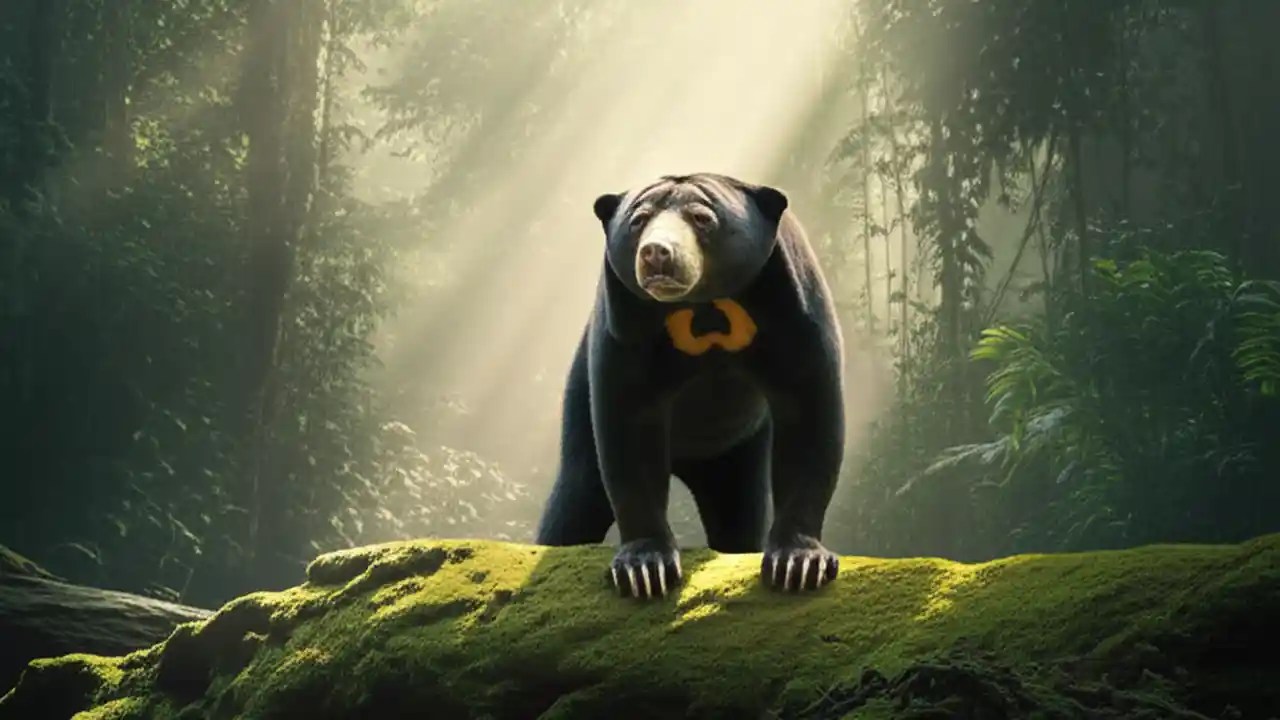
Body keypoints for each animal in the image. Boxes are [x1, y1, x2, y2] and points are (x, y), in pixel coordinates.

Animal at [535, 172, 845, 599]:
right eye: (638, 221)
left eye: (702, 218)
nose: (656, 253)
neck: (701, 304)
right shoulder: (622, 323)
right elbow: (628, 425)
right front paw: (645, 570)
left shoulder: (794, 305)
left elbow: (809, 413)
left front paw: (797, 566)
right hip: (577, 403)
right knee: (576, 496)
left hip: (739, 446)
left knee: (738, 508)